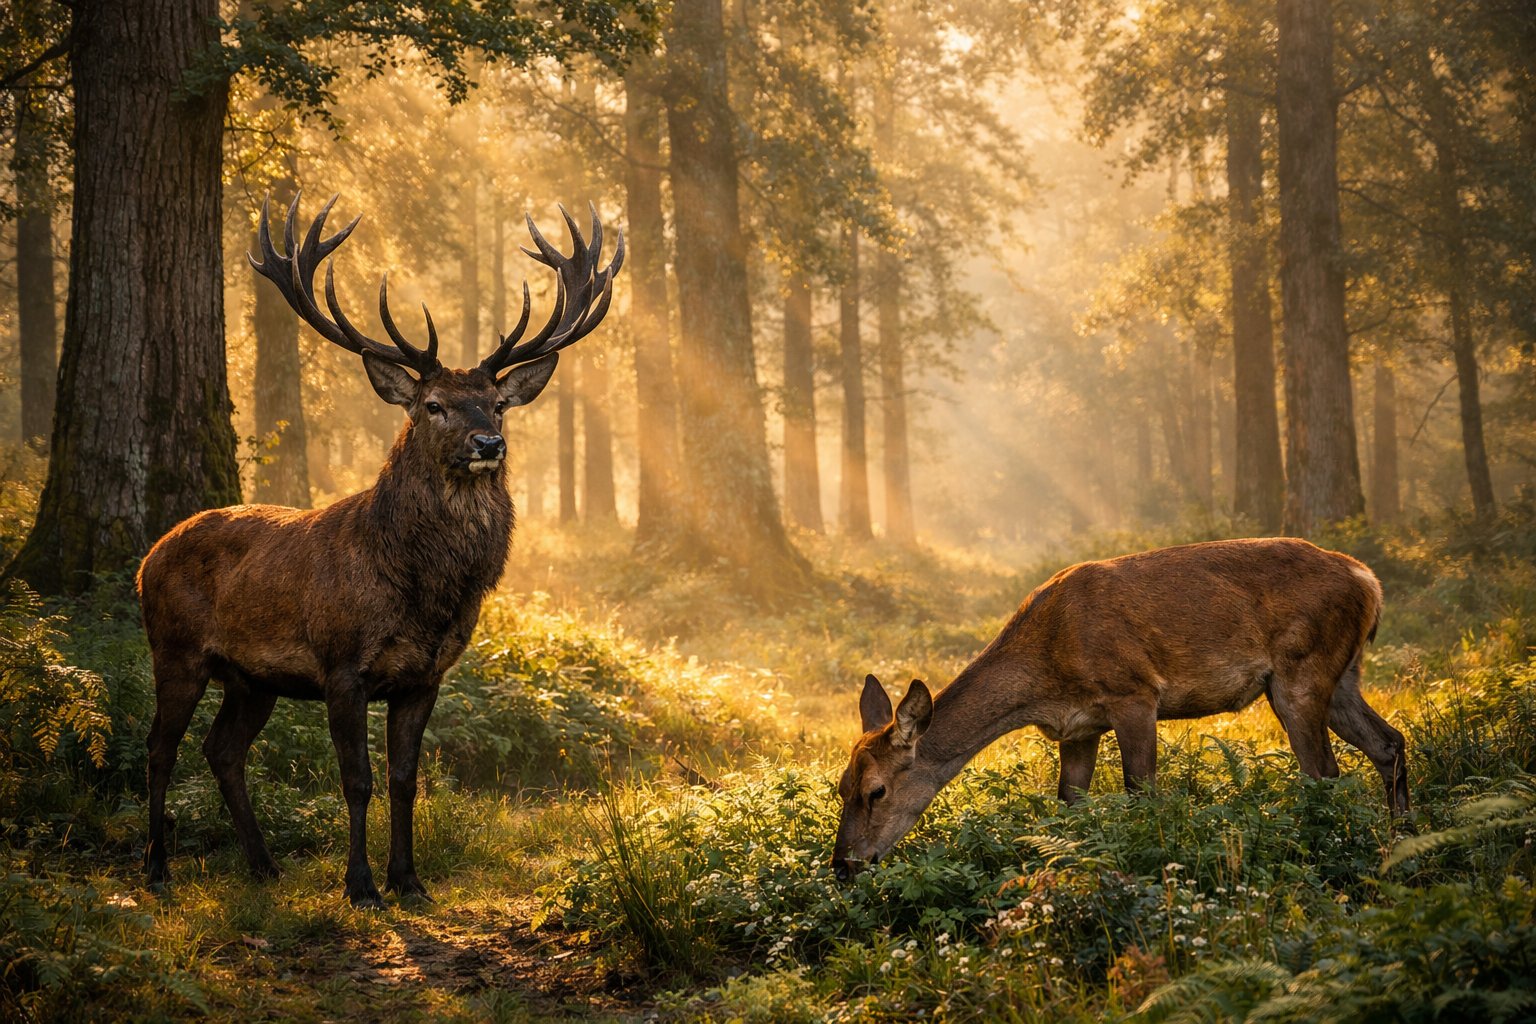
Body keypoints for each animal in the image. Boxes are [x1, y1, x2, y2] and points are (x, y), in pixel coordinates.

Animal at [138, 193, 622, 907]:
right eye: (434, 404)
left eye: (498, 404)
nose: (488, 443)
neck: (421, 591)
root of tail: (146, 559)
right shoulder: (342, 666)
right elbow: (357, 781)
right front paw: (361, 885)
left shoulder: (425, 675)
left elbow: (404, 780)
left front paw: (409, 880)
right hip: (176, 651)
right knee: (159, 747)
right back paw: (156, 868)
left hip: (252, 679)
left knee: (222, 750)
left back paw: (263, 865)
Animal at [831, 538, 1410, 880]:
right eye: (840, 787)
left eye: (876, 790)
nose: (843, 866)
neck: (1046, 675)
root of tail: (1370, 581)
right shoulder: (1077, 728)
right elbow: (1070, 805)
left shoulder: (1134, 693)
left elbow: (1141, 792)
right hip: (1342, 676)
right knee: (1389, 742)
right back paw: (1402, 838)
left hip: (1300, 673)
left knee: (1325, 773)